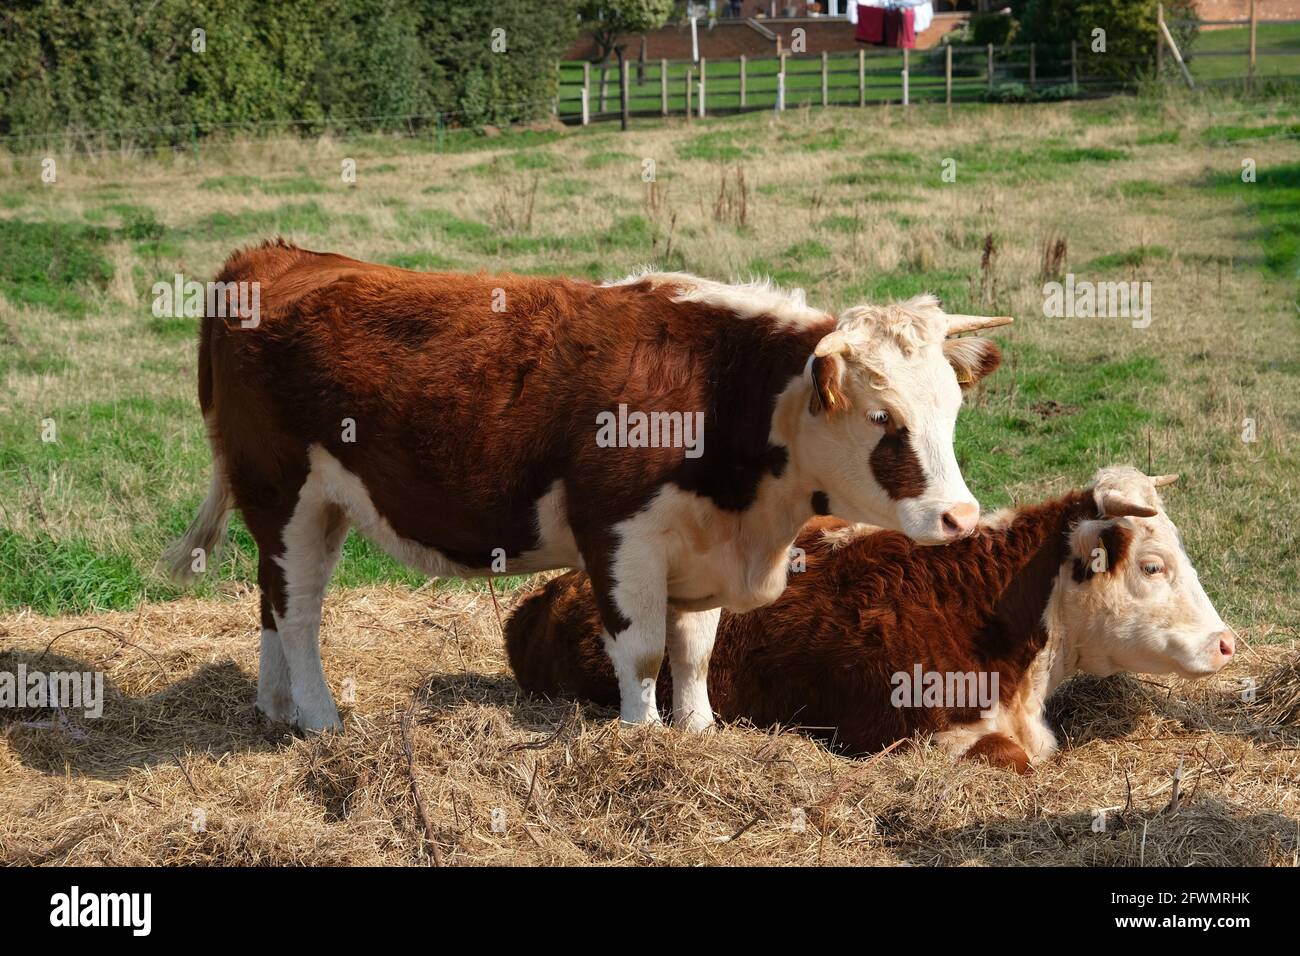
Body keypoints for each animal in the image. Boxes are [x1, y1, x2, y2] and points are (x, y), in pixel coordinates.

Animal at [164, 239, 1009, 733]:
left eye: (952, 407)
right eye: (881, 416)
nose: (961, 517)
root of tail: (266, 258)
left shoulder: (698, 549)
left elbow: (694, 653)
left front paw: (699, 733)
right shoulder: (621, 538)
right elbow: (639, 653)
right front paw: (643, 738)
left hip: (312, 505)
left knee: (273, 602)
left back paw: (275, 708)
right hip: (285, 492)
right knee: (300, 612)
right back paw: (318, 718)